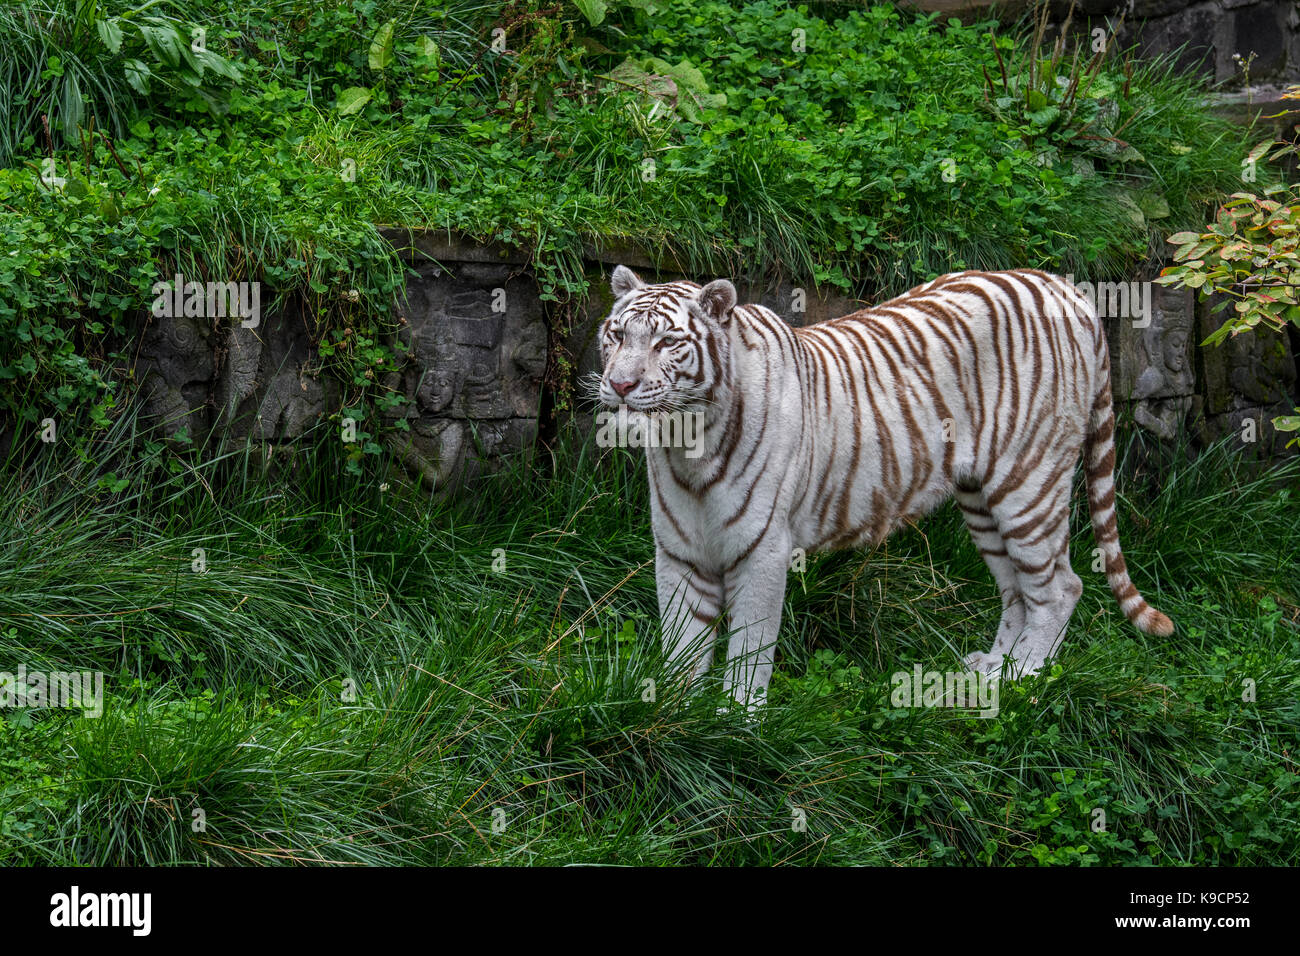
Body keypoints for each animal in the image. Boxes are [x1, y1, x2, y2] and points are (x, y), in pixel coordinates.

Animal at [595, 264, 1174, 711]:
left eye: (667, 342)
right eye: (617, 335)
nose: (620, 385)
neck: (687, 444)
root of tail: (1064, 287)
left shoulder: (762, 551)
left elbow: (749, 647)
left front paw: (736, 721)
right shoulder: (680, 553)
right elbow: (682, 644)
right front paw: (677, 714)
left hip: (1027, 484)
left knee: (1060, 588)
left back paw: (1022, 679)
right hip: (981, 499)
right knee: (1017, 590)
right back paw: (991, 668)